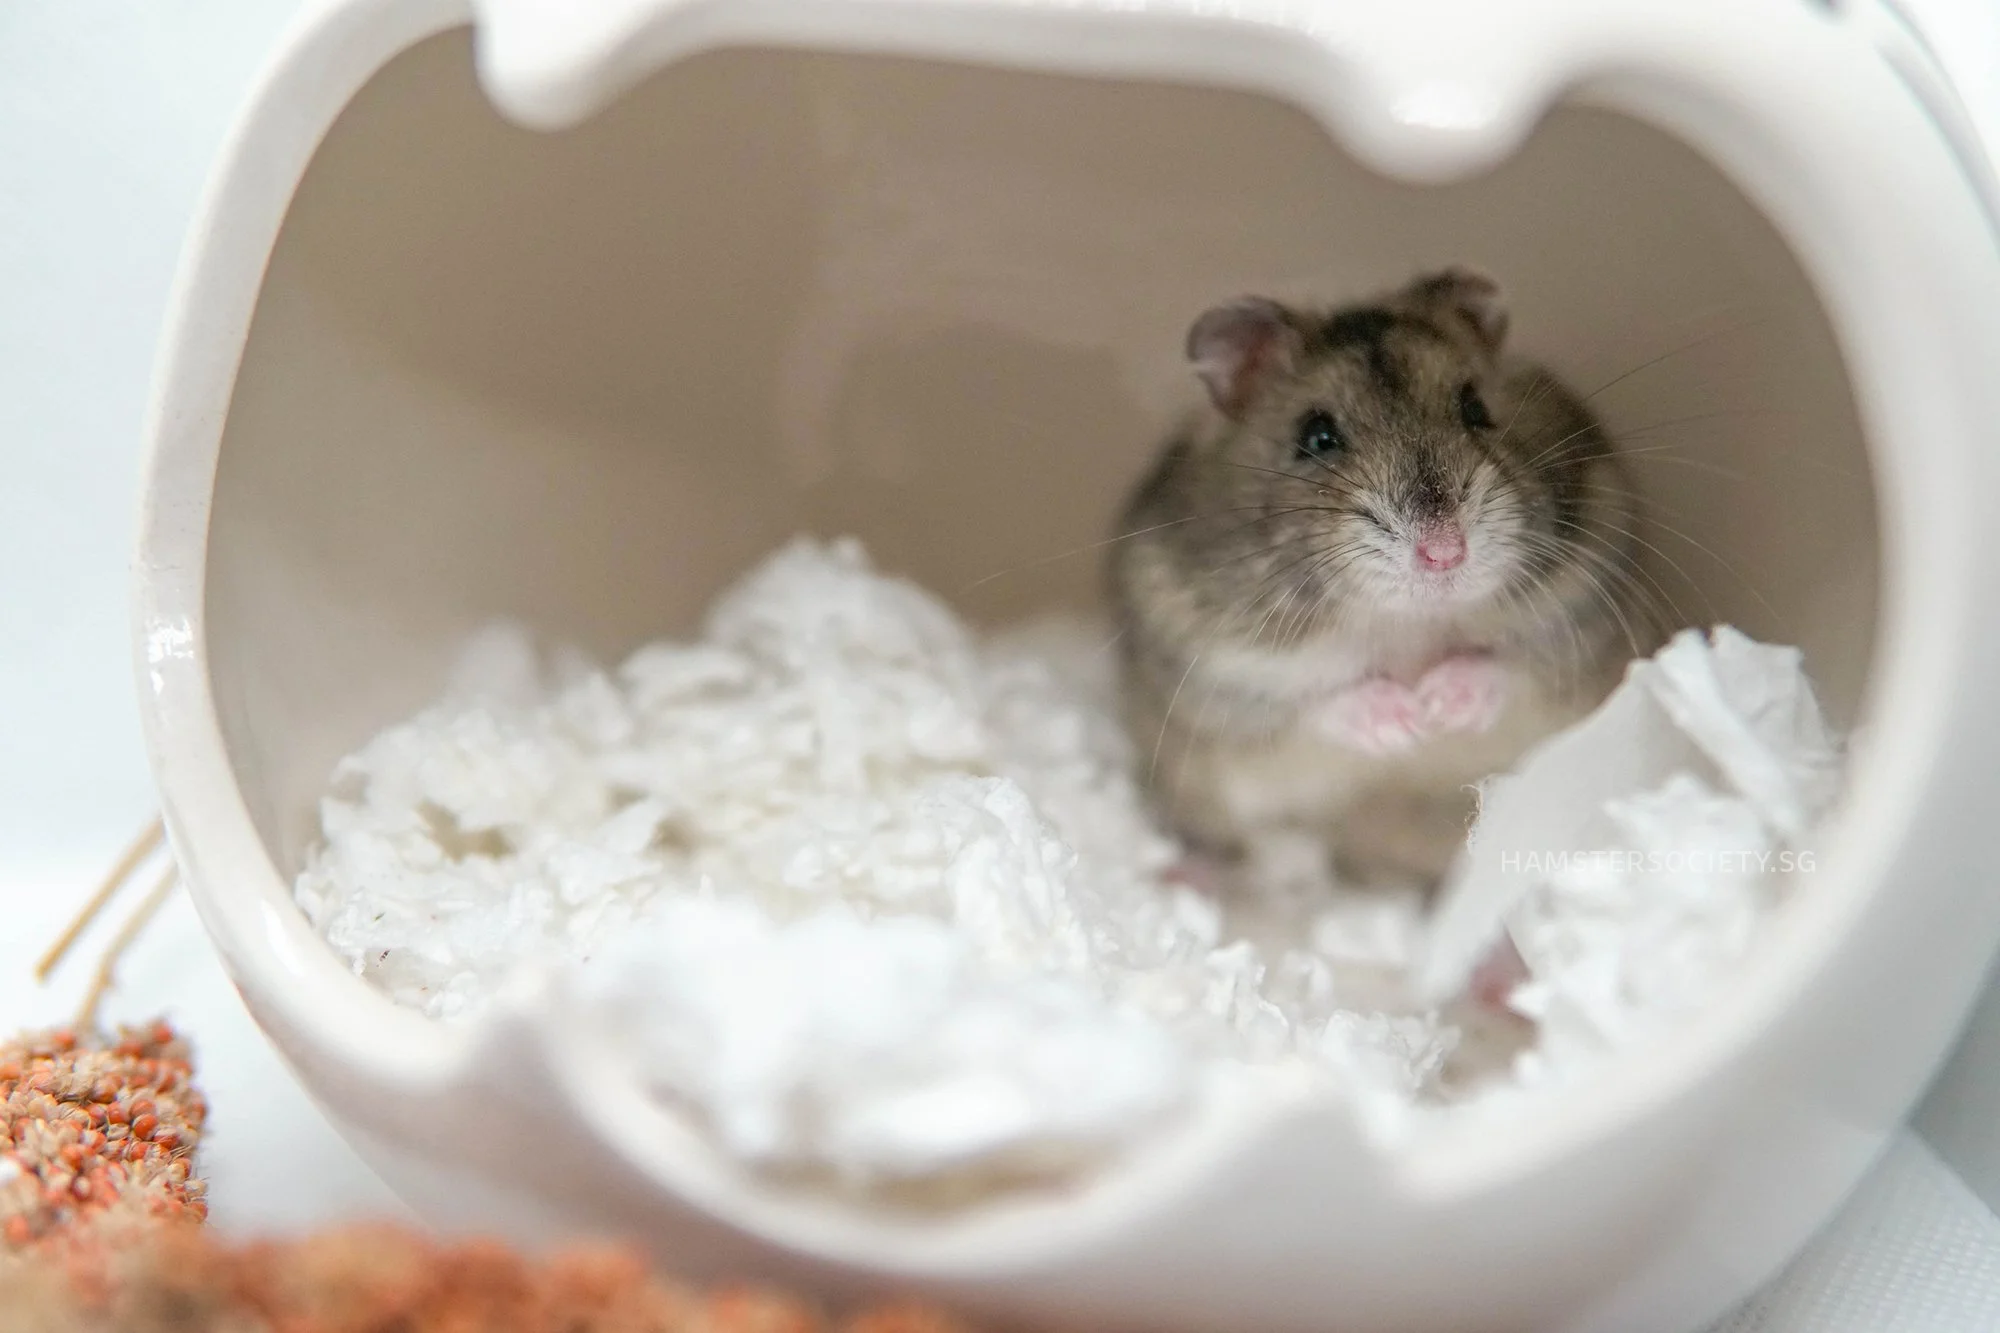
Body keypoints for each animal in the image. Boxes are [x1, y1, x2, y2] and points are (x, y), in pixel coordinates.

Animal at [1108, 268, 1662, 888]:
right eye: (1316, 437)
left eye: (1475, 407)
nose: (1445, 553)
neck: (1412, 627)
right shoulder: (1221, 673)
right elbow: (1317, 704)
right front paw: (1407, 722)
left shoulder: (1583, 616)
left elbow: (1510, 668)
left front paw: (1439, 705)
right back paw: (1183, 875)